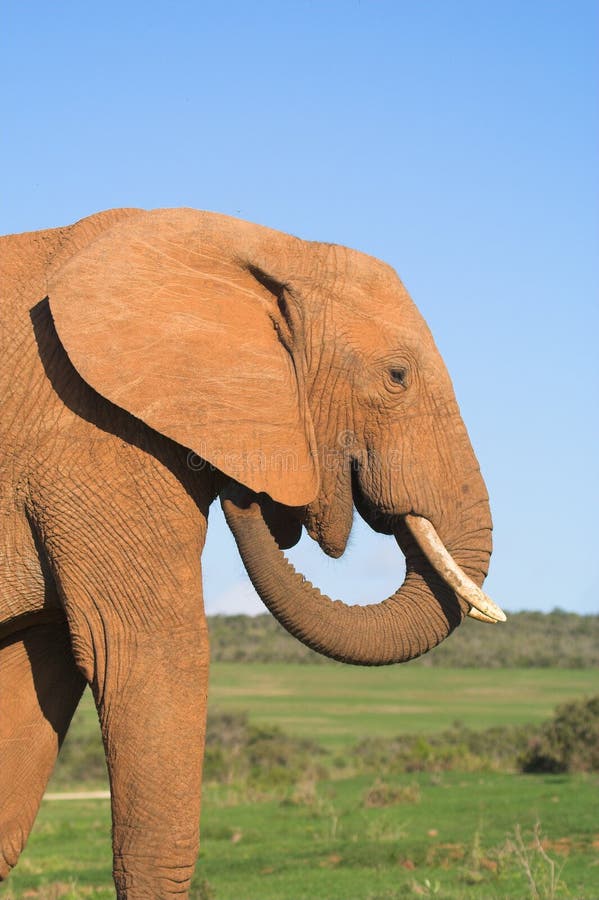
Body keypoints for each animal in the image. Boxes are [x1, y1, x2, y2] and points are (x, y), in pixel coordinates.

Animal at [0, 207, 504, 897]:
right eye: (397, 376)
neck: (266, 246)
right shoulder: (90, 429)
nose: (251, 491)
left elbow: (35, 672)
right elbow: (142, 650)